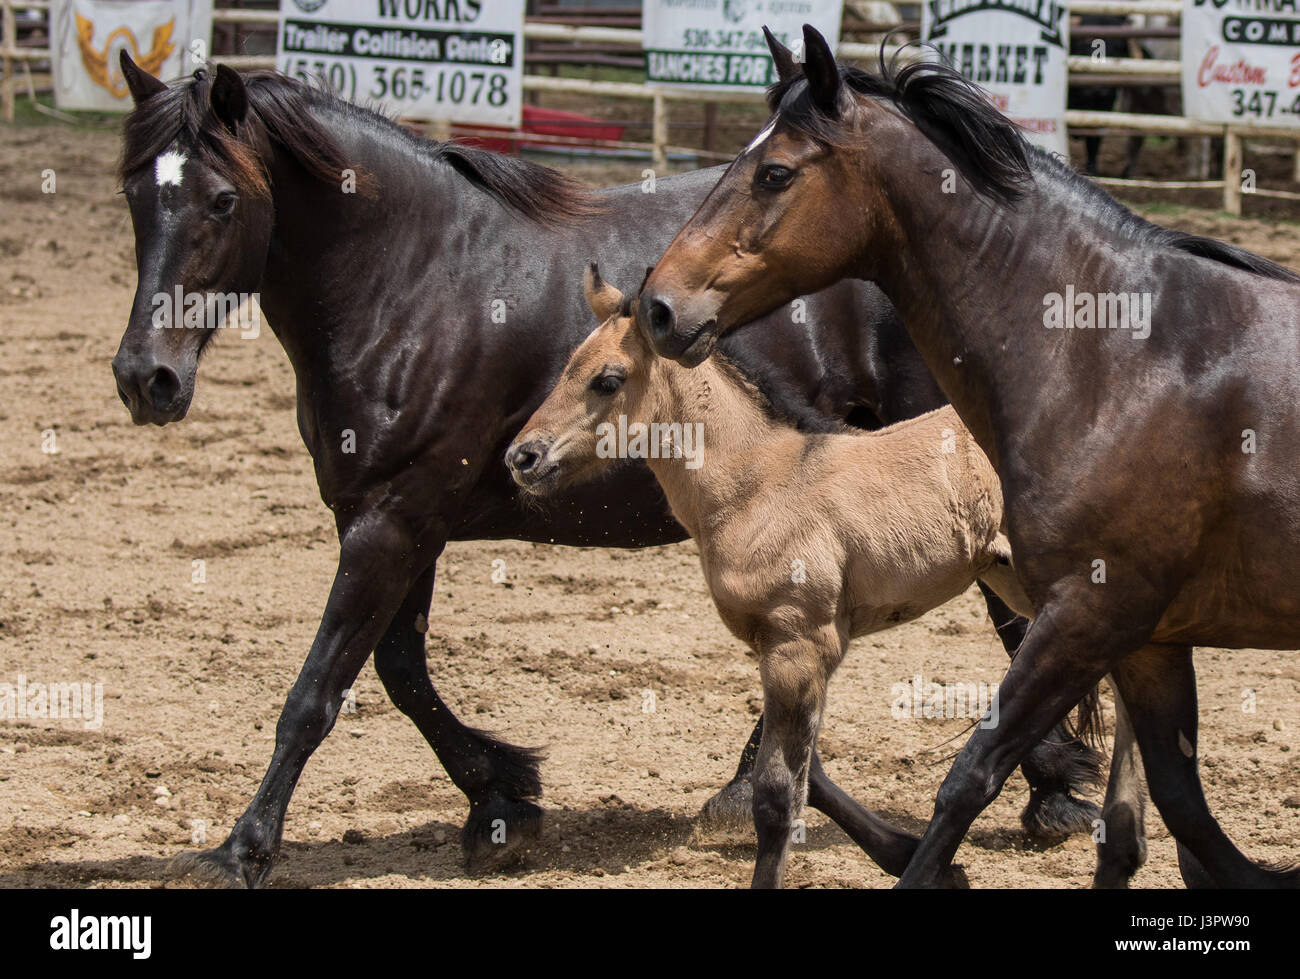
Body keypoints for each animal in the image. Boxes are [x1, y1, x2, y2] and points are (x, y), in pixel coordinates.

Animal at [506, 265, 1050, 887]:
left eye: (607, 380)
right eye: (569, 363)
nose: (521, 457)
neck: (758, 484)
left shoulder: (800, 644)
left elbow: (777, 797)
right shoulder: (778, 648)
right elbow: (811, 775)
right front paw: (922, 860)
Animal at [638, 24, 1300, 888]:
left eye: (774, 172)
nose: (657, 304)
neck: (1125, 357)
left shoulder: (1089, 612)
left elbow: (970, 777)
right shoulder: (1148, 638)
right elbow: (1183, 800)